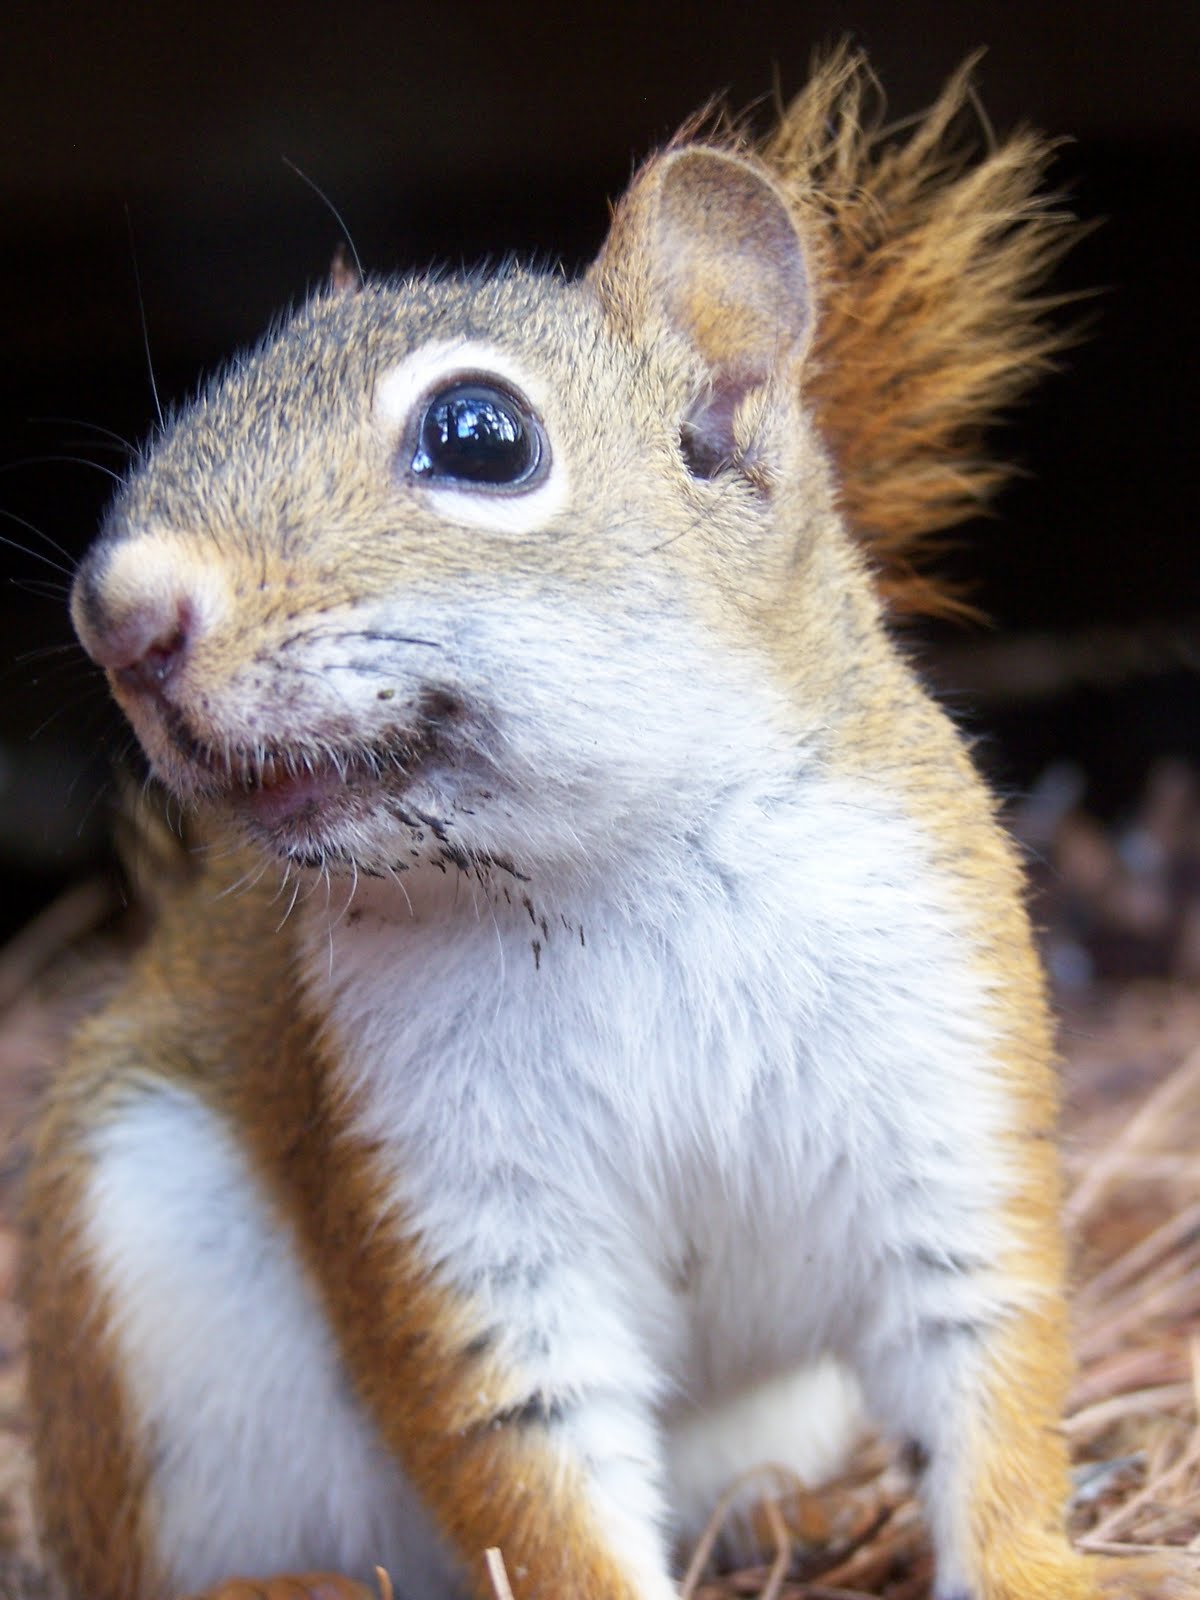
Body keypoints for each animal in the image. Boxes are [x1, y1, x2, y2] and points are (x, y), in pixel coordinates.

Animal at [22, 48, 1197, 1600]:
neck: (626, 869)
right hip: (150, 1268)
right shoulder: (455, 1209)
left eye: (479, 437)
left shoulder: (945, 1081)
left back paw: (786, 1516)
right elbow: (532, 1461)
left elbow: (989, 1382)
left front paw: (1043, 1564)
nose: (118, 617)